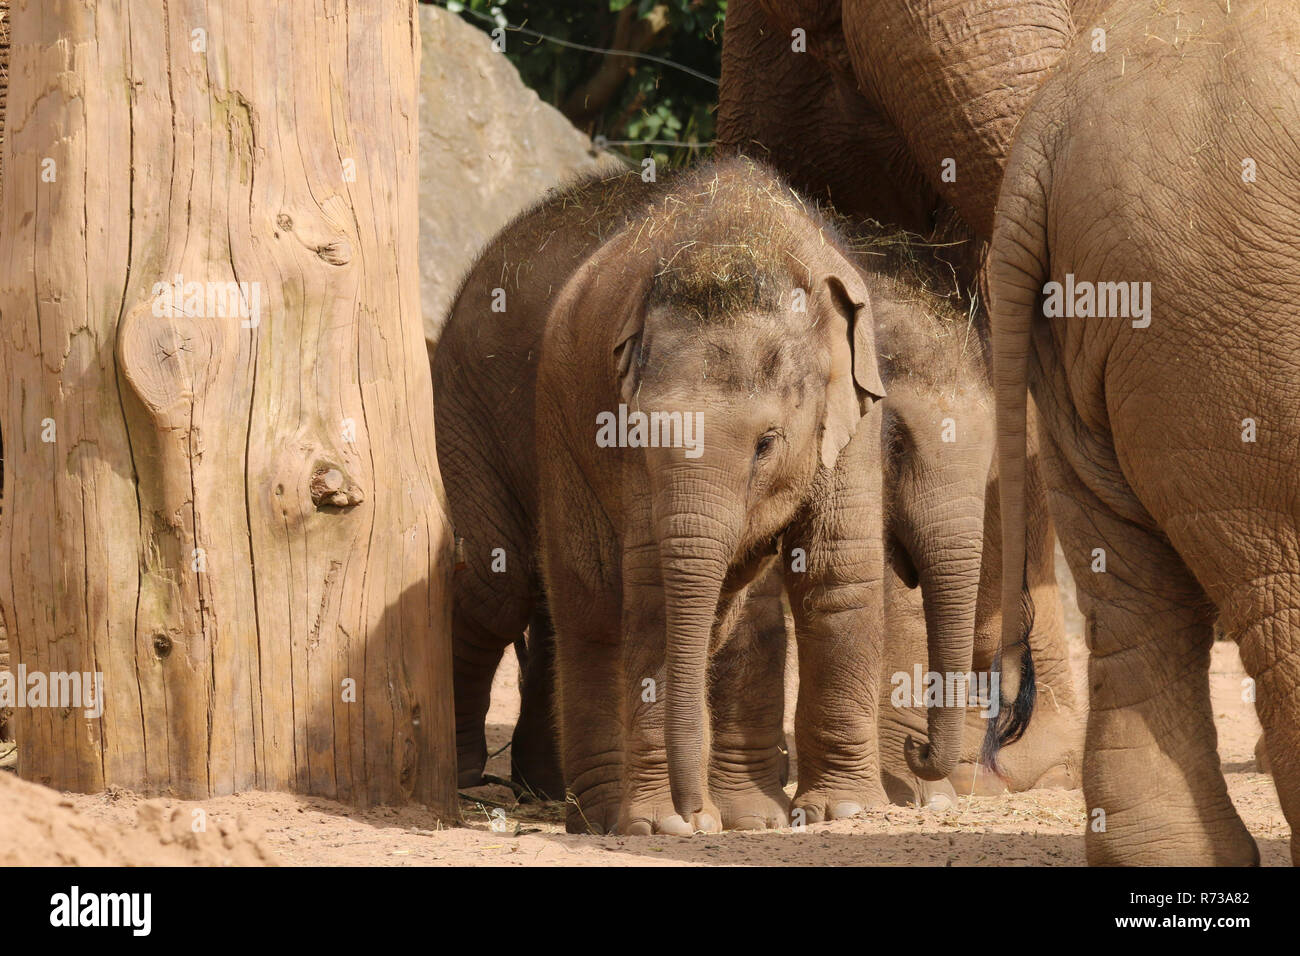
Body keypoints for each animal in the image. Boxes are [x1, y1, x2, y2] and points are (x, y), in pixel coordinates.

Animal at [433, 157, 901, 835]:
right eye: (641, 436)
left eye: (767, 443)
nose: (693, 809)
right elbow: (650, 592)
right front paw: (665, 826)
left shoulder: (857, 411)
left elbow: (837, 573)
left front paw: (839, 810)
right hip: (485, 413)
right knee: (527, 588)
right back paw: (512, 790)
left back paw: (563, 794)